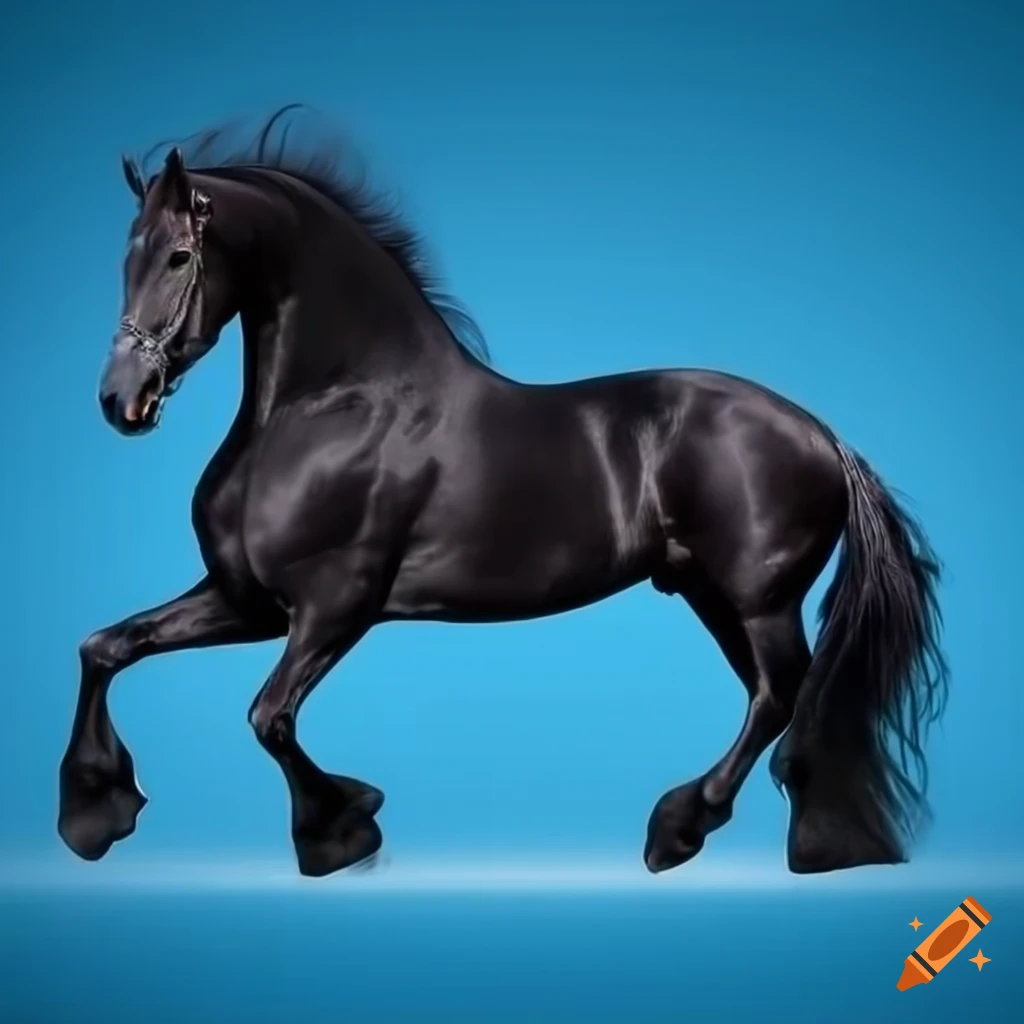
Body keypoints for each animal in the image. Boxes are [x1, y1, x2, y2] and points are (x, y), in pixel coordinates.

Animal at [58, 107, 949, 880]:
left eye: (178, 257)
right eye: (125, 258)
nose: (120, 399)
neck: (336, 403)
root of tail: (825, 437)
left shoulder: (334, 605)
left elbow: (267, 717)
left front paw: (341, 829)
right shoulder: (247, 602)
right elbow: (107, 646)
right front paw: (94, 813)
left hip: (759, 598)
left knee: (778, 692)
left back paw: (681, 828)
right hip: (711, 592)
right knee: (781, 694)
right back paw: (795, 835)